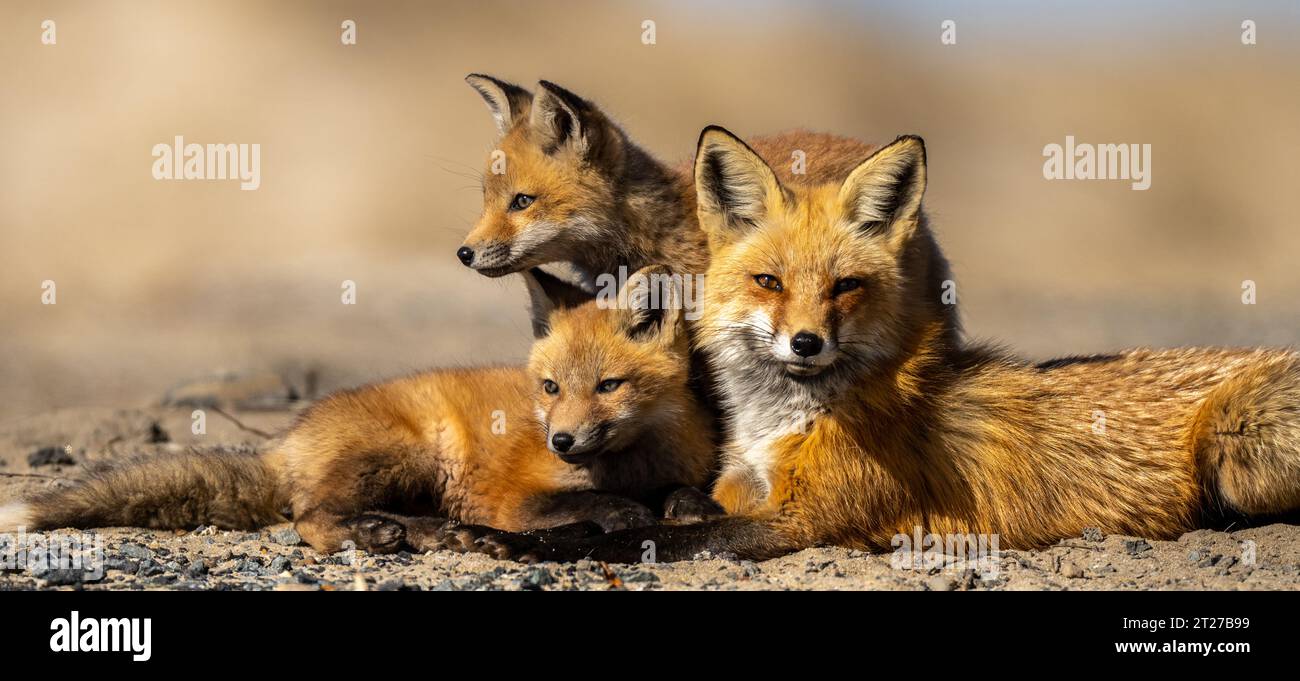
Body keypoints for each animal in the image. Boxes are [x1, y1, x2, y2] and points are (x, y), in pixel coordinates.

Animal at [0, 267, 721, 554]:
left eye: (607, 385)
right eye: (549, 388)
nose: (563, 442)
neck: (630, 462)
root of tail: (288, 437)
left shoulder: (677, 467)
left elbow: (688, 493)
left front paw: (685, 505)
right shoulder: (512, 498)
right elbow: (592, 503)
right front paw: (622, 512)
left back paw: (420, 533)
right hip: (413, 457)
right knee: (310, 518)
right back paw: (387, 534)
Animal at [447, 126, 1300, 564]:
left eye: (845, 287)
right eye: (768, 281)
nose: (805, 342)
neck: (781, 420)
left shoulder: (804, 520)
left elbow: (651, 536)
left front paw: (513, 543)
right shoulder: (741, 487)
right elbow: (668, 507)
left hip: (1242, 438)